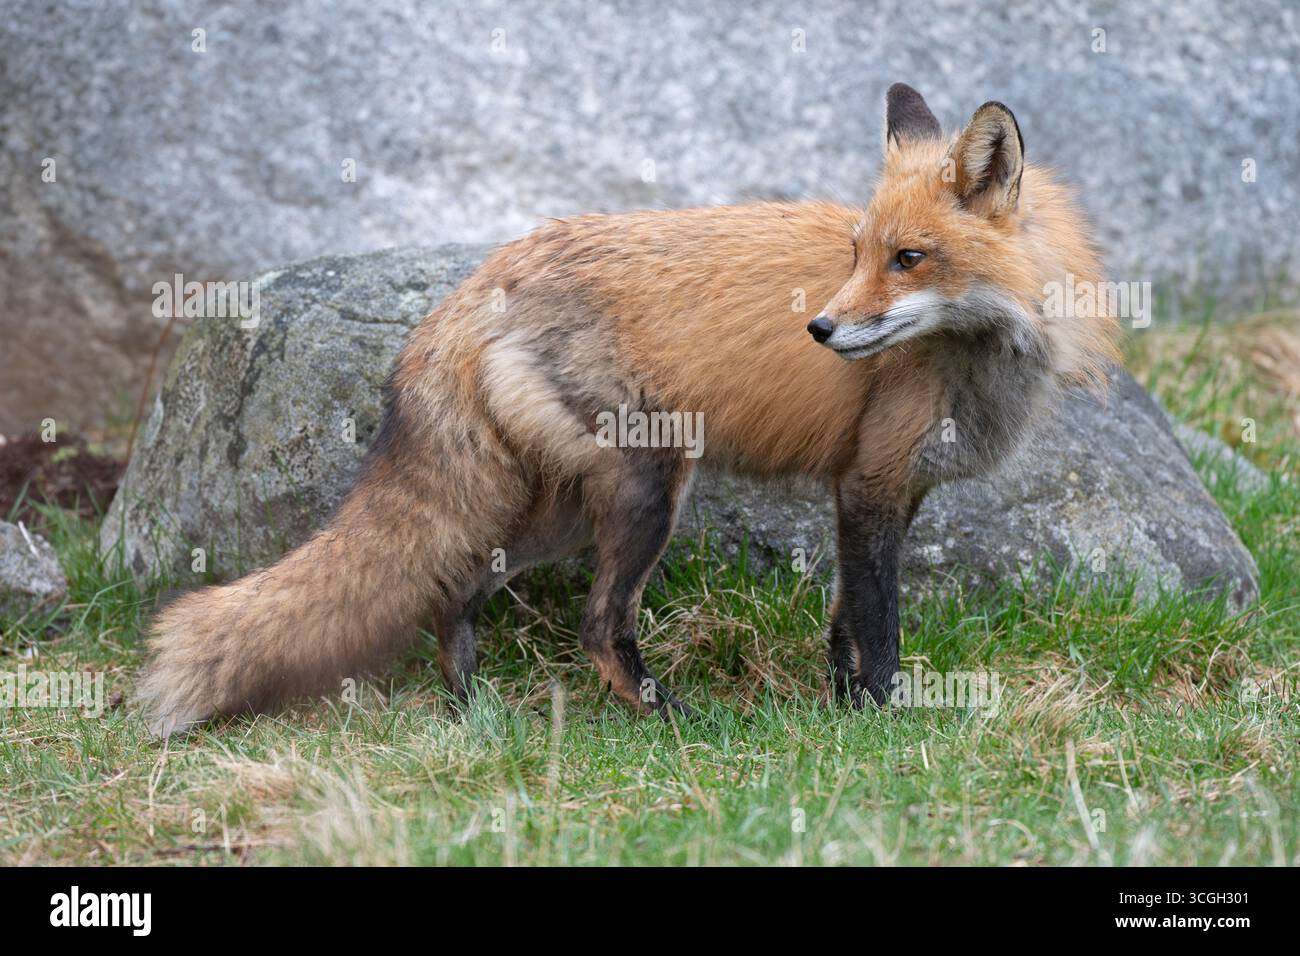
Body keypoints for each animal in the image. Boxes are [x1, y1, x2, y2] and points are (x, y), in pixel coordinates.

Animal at [136, 84, 1118, 735]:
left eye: (907, 258)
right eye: (857, 253)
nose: (822, 328)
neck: (980, 350)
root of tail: (481, 279)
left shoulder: (888, 493)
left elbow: (843, 621)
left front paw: (841, 712)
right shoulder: (870, 487)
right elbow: (877, 628)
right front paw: (881, 725)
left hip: (571, 509)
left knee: (458, 586)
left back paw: (472, 709)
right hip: (652, 486)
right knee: (598, 624)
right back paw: (674, 717)